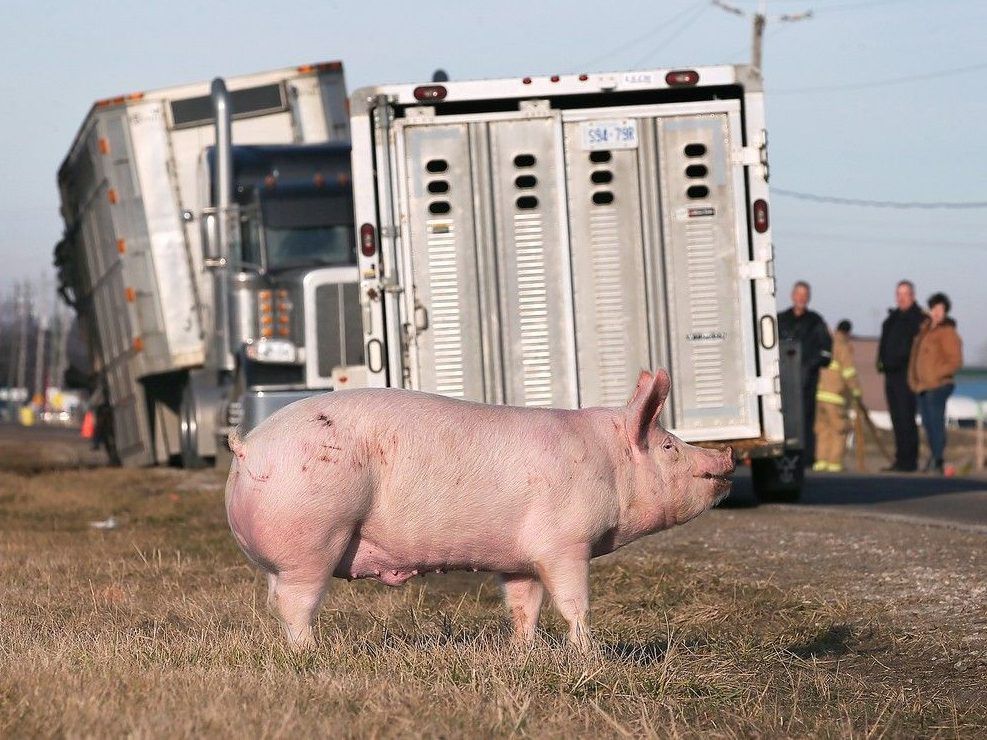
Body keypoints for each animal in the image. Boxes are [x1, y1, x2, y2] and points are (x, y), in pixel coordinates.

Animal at [224, 368, 733, 651]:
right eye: (669, 447)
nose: (726, 456)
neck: (608, 463)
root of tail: (247, 447)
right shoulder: (565, 542)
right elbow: (574, 603)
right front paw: (588, 655)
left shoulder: (521, 559)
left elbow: (524, 604)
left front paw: (523, 652)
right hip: (314, 538)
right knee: (296, 604)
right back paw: (312, 654)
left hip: (288, 555)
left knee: (276, 601)